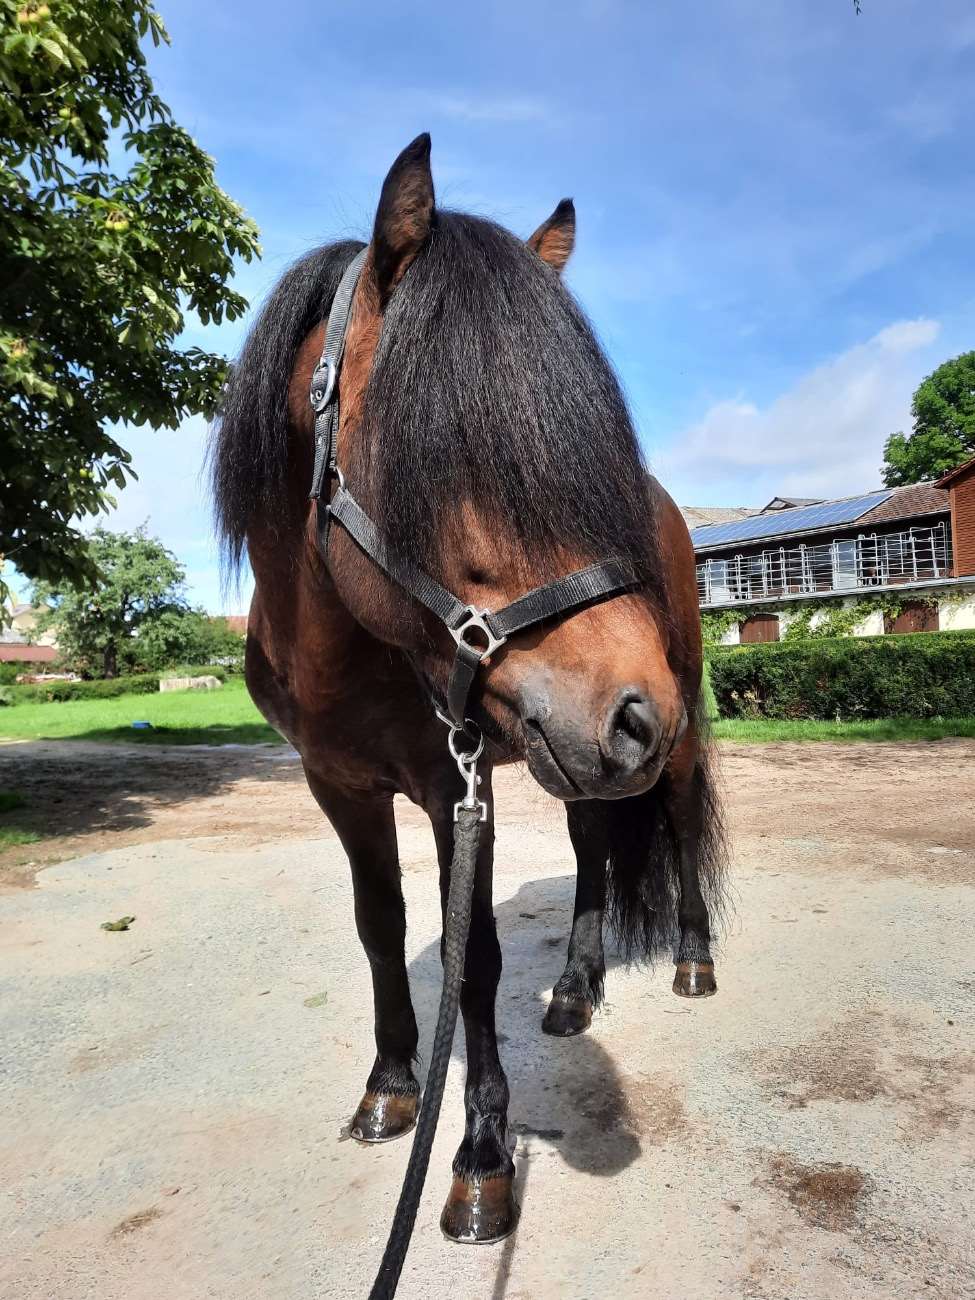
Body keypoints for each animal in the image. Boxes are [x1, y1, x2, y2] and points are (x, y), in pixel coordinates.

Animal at [211, 133, 725, 1260]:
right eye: (442, 447)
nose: (634, 713)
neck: (347, 651)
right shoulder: (341, 787)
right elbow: (381, 924)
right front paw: (391, 1086)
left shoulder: (457, 789)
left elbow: (475, 958)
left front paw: (480, 1158)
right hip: (573, 756)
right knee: (592, 843)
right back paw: (574, 989)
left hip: (657, 735)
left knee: (673, 817)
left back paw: (692, 961)